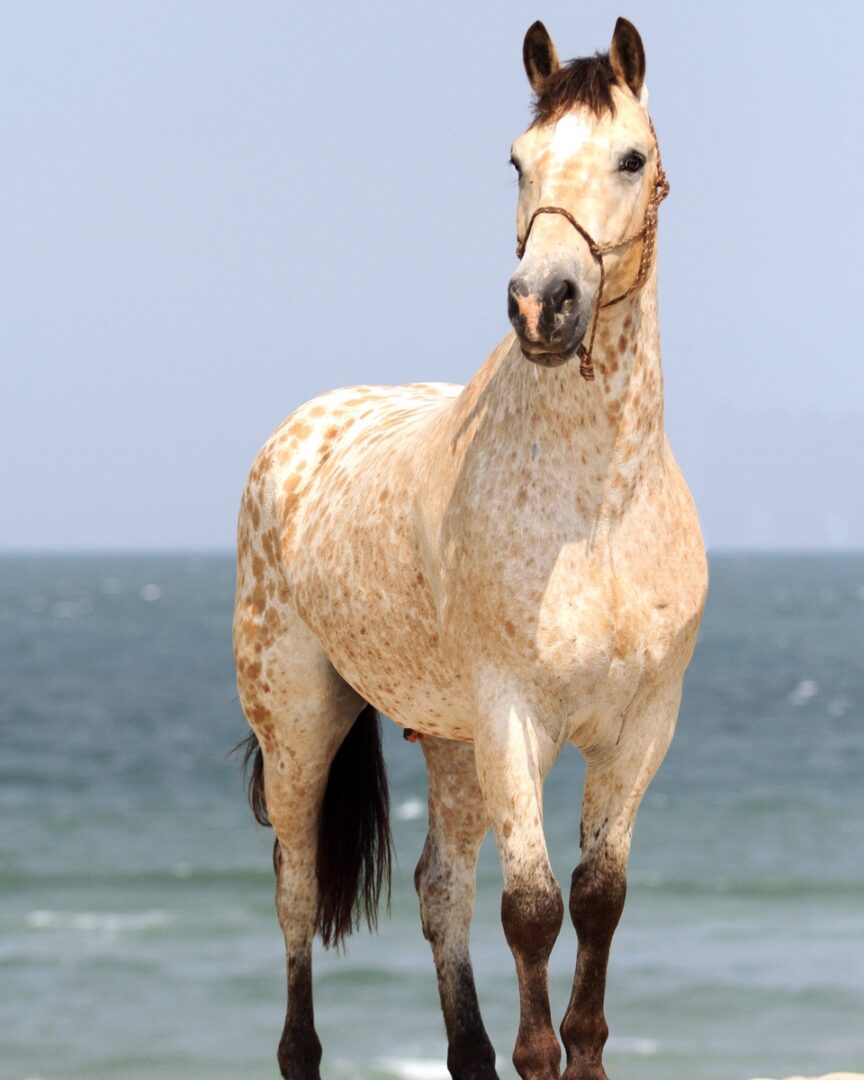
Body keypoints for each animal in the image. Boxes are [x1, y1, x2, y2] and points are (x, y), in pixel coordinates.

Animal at [234, 16, 707, 1080]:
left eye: (631, 156)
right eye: (517, 160)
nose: (544, 305)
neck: (595, 513)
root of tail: (297, 432)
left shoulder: (643, 730)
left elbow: (597, 900)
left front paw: (581, 1053)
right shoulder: (511, 721)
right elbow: (532, 911)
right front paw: (541, 1055)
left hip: (447, 744)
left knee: (438, 889)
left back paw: (470, 1051)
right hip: (302, 723)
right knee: (294, 892)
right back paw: (300, 1050)